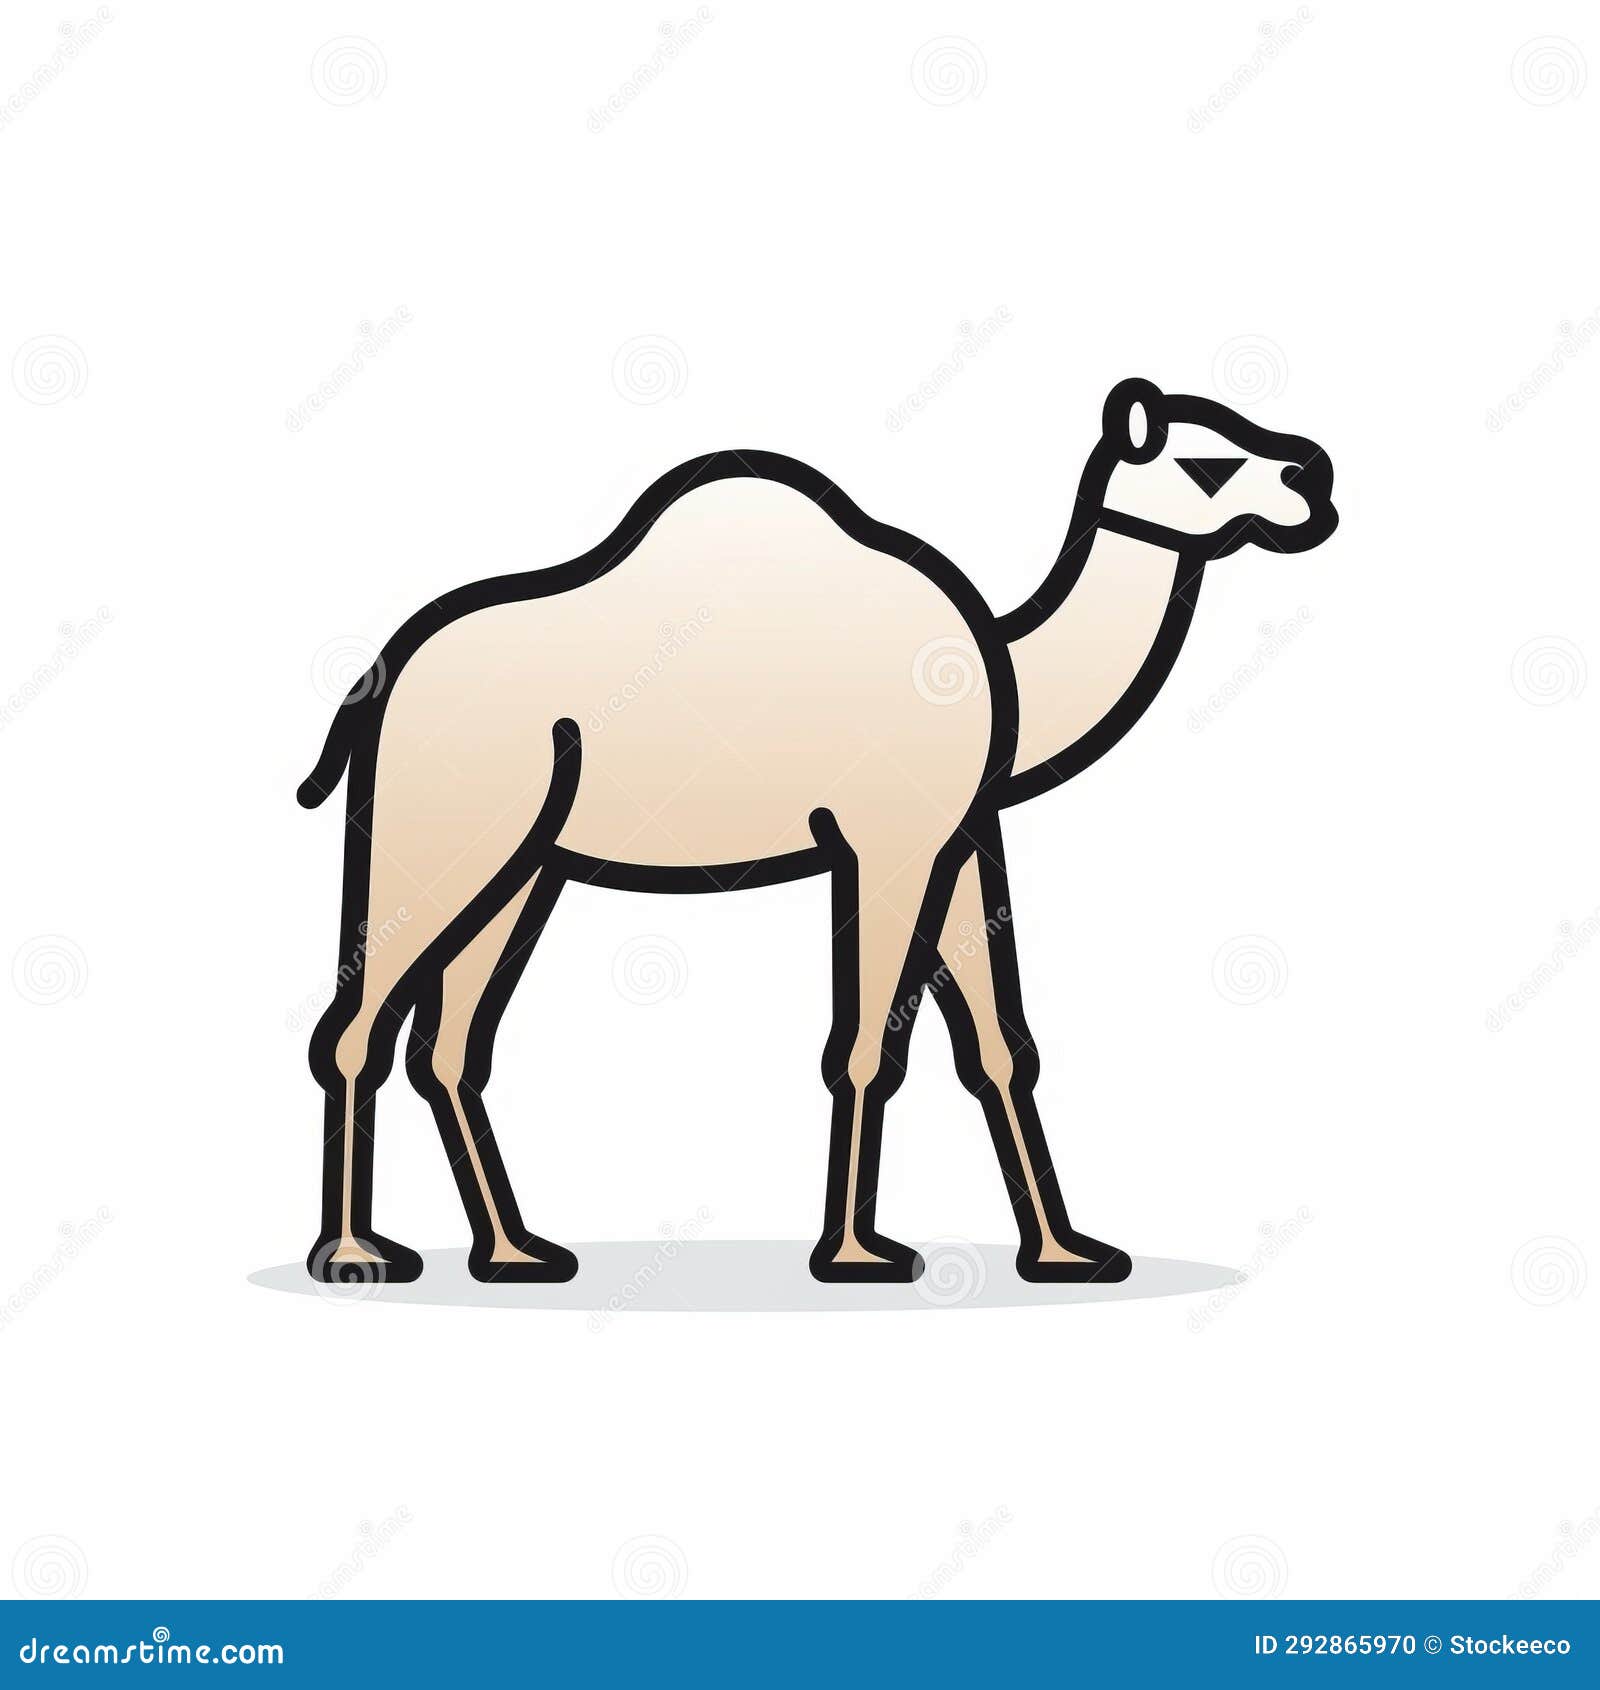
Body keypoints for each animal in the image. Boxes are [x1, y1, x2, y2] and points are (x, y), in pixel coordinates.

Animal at [299, 377, 1337, 1287]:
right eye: (1207, 460)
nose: (1310, 479)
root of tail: (378, 682)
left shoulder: (959, 837)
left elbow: (1000, 1046)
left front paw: (1066, 1255)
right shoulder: (889, 837)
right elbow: (867, 1042)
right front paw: (857, 1255)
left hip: (525, 861)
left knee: (448, 1045)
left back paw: (515, 1253)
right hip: (445, 823)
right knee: (357, 1022)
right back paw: (355, 1255)